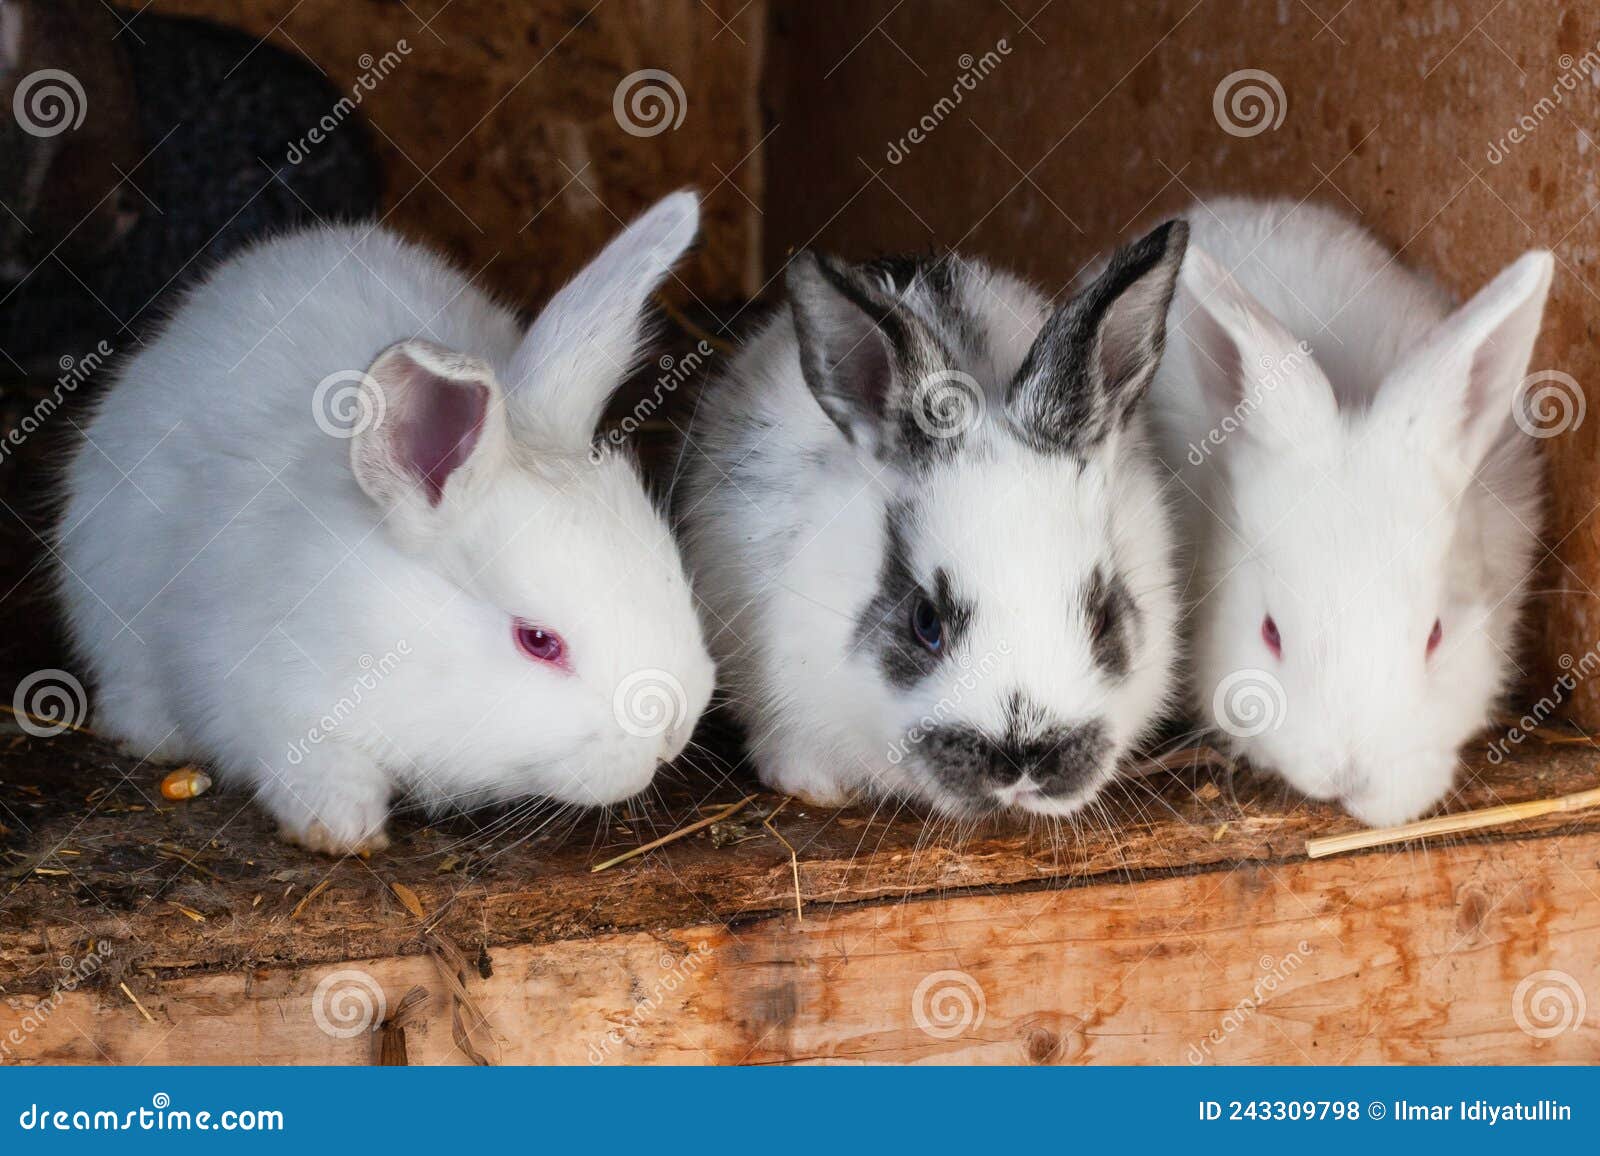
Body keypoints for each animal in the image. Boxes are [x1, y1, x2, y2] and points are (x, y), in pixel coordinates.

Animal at [55, 191, 716, 855]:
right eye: (538, 641)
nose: (671, 737)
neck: (394, 628)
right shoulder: (264, 696)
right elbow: (313, 763)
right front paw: (344, 827)